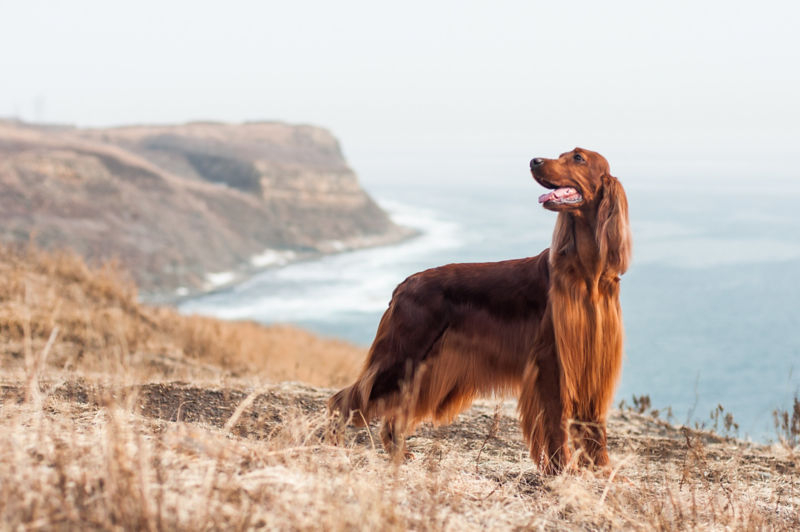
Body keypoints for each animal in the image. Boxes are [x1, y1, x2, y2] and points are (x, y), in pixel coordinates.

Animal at [328, 148, 628, 472]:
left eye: (578, 158)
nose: (534, 161)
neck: (587, 275)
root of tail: (404, 284)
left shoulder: (594, 359)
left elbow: (594, 425)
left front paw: (603, 472)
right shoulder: (553, 360)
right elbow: (557, 422)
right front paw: (561, 471)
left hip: (420, 366)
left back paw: (398, 452)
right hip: (402, 354)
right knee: (343, 400)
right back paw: (334, 445)